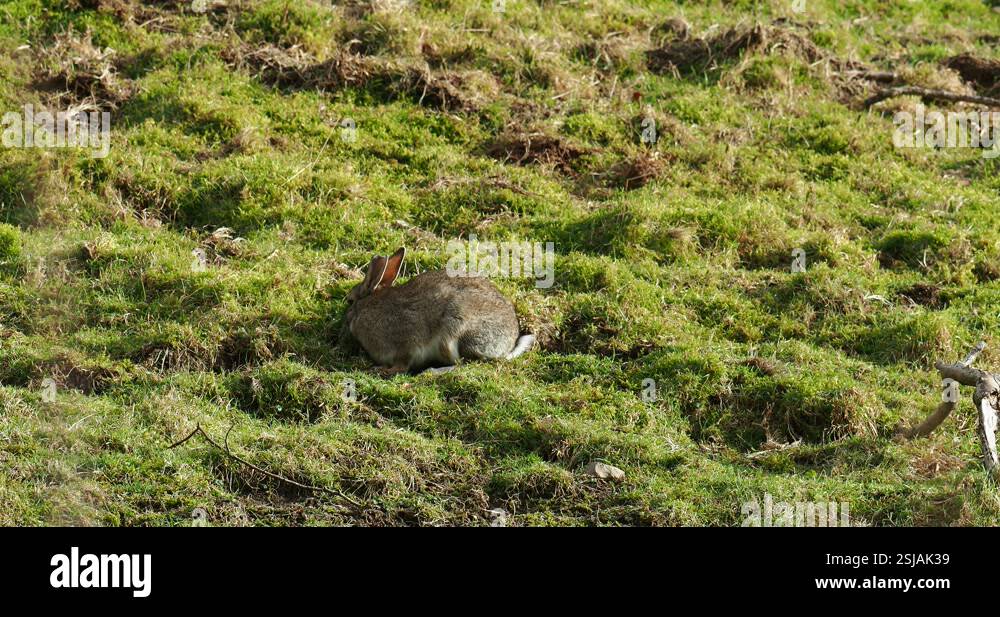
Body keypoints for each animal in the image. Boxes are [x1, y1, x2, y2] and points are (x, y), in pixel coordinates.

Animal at [341, 247, 535, 374]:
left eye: (350, 300)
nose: (346, 319)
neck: (368, 306)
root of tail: (507, 346)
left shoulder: (407, 340)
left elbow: (402, 364)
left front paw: (382, 370)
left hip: (455, 332)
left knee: (463, 363)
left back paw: (432, 371)